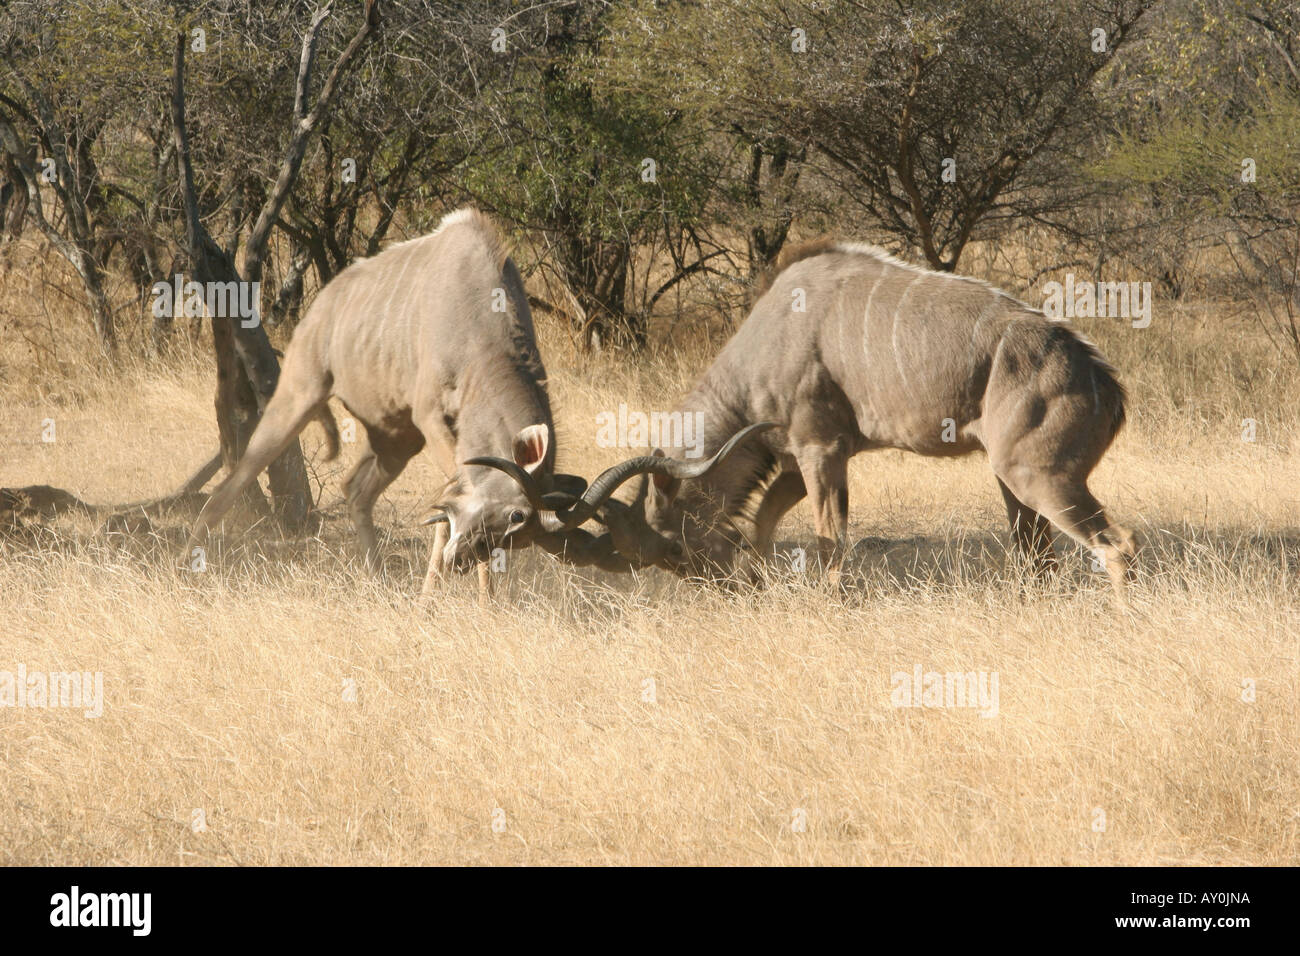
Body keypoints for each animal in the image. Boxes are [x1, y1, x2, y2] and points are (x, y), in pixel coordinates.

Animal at [497, 239, 1138, 598]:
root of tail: (1105, 380)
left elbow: (831, 542)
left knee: (1118, 545)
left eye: (674, 549)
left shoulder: (821, 450)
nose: (721, 589)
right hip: (1011, 484)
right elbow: (762, 526)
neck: (769, 338)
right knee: (1038, 556)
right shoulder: (791, 461)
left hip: (1041, 478)